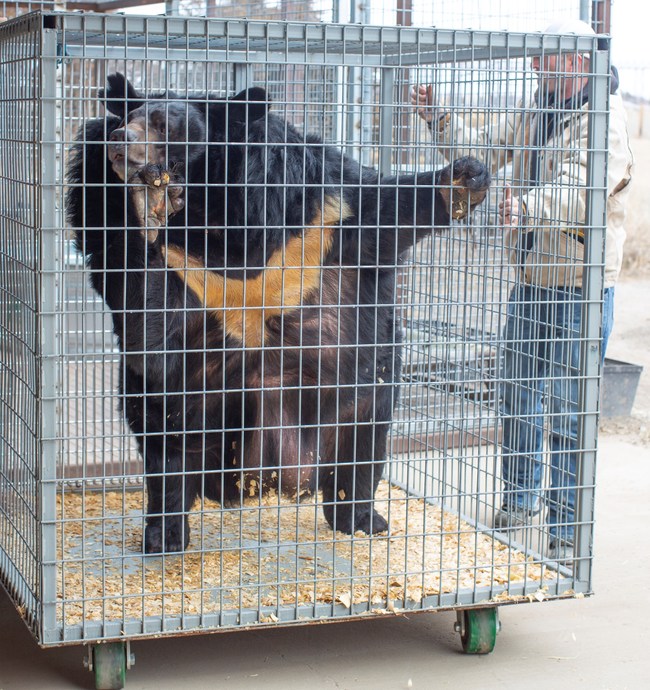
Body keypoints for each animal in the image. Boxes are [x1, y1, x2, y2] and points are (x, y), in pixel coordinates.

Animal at [66, 73, 490, 553]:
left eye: (164, 125)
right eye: (129, 118)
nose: (121, 141)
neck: (209, 212)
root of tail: (266, 480)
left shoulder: (317, 213)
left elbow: (380, 208)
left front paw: (464, 177)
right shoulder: (160, 255)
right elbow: (150, 330)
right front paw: (146, 205)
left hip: (359, 398)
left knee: (362, 451)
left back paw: (362, 519)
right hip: (180, 419)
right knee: (167, 464)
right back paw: (165, 536)